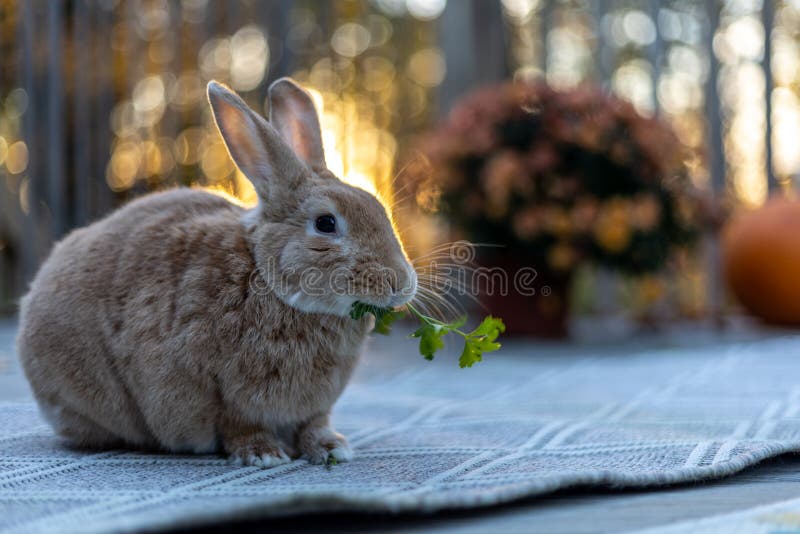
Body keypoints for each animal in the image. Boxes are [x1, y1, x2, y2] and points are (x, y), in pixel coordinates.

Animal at [16, 78, 417, 467]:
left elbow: (313, 424)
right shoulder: (216, 388)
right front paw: (262, 454)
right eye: (325, 223)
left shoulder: (314, 406)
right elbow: (239, 423)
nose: (400, 283)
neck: (264, 275)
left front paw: (332, 448)